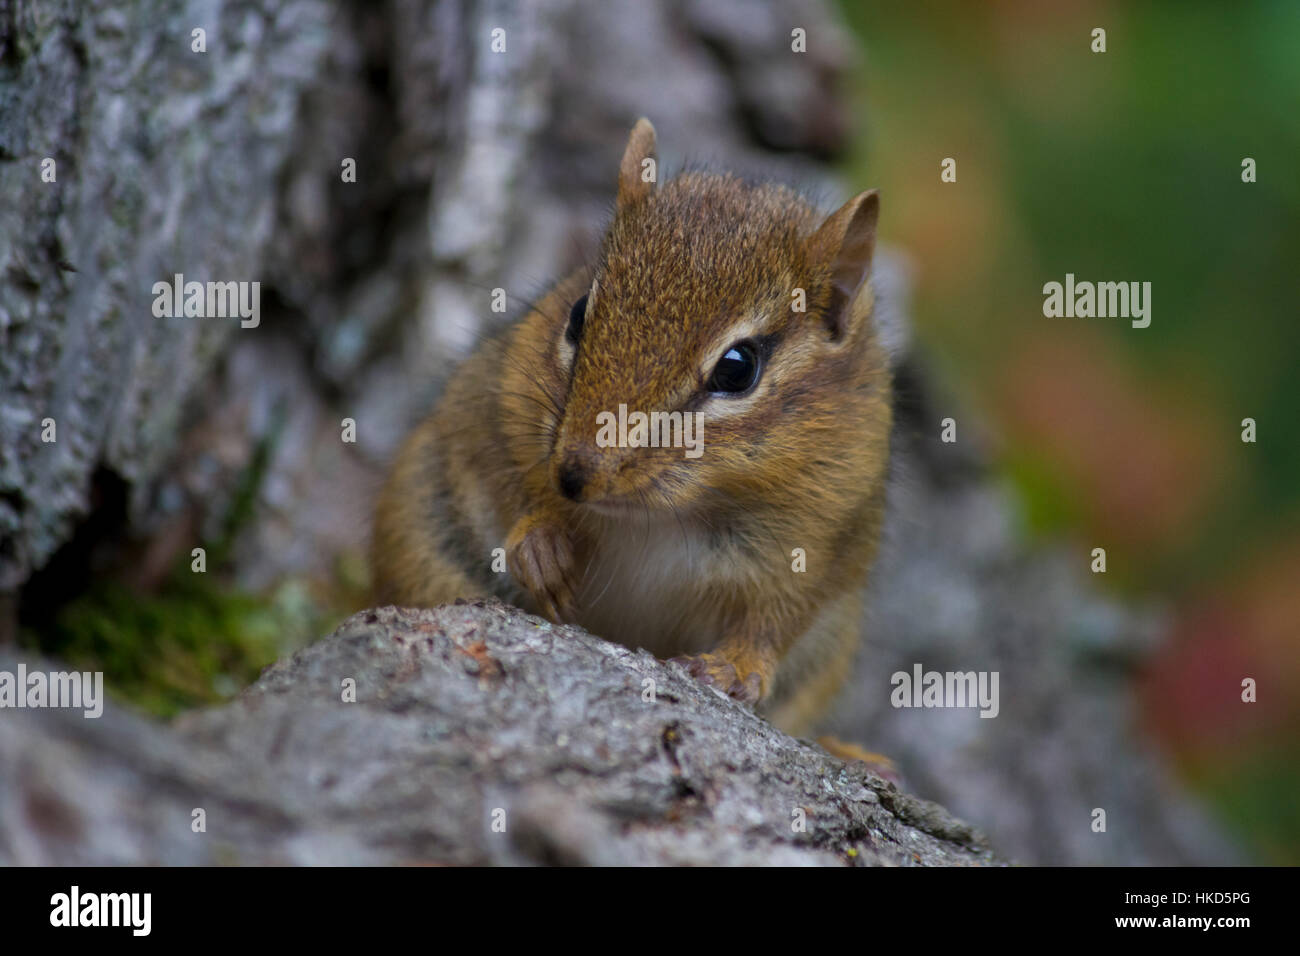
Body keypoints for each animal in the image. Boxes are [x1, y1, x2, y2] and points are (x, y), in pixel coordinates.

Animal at [372, 118, 892, 737]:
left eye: (737, 368)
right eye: (577, 314)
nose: (574, 476)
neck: (663, 515)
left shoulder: (824, 536)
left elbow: (777, 620)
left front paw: (737, 667)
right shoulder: (493, 408)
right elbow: (505, 478)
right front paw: (539, 545)